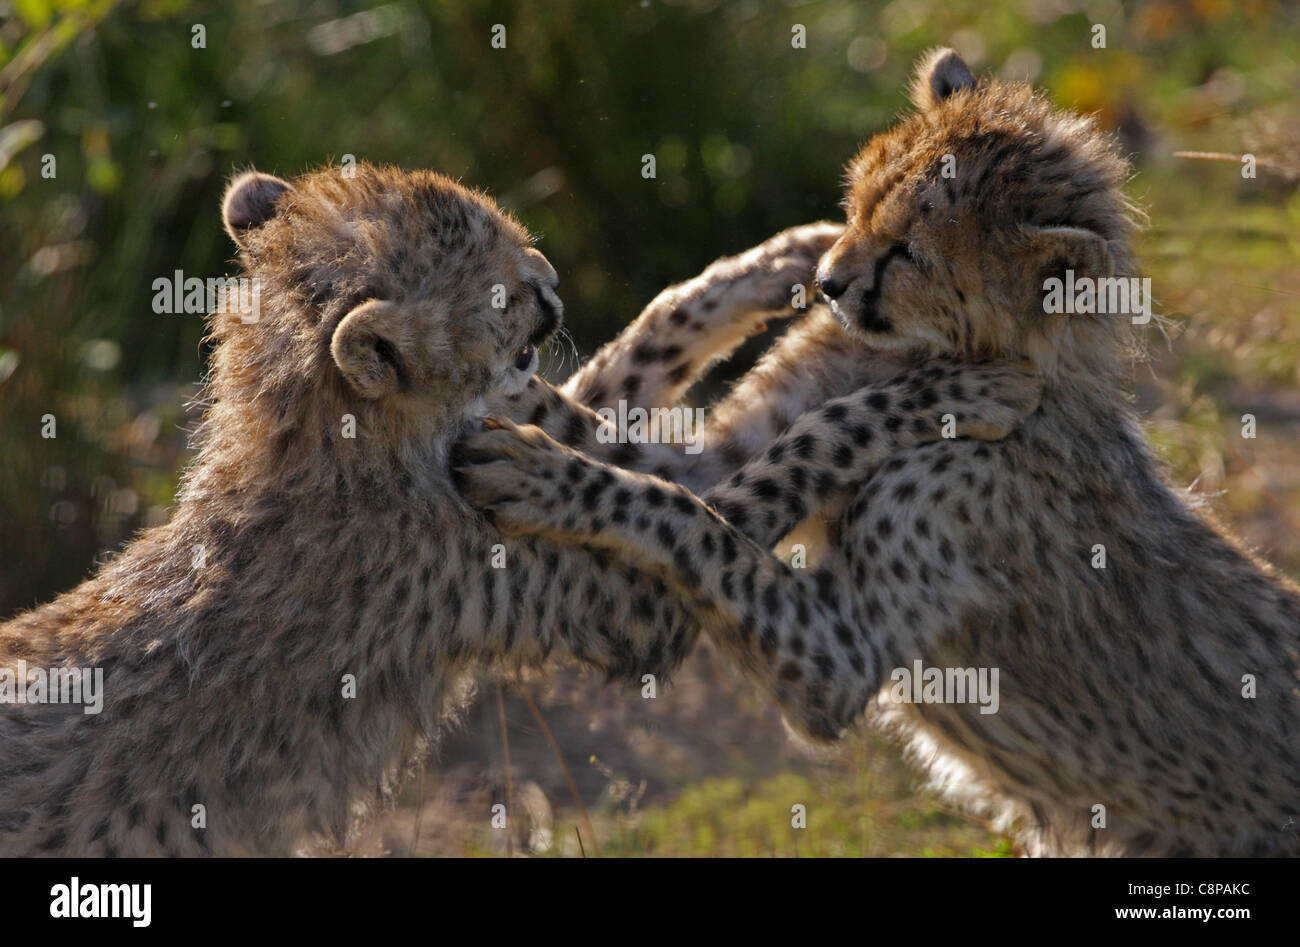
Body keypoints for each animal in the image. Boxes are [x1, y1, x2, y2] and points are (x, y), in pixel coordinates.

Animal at [455, 49, 1300, 857]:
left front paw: (539, 472)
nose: (830, 282)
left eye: (910, 254)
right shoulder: (721, 456)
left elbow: (692, 511)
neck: (925, 350)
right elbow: (647, 427)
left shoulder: (835, 661)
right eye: (859, 198)